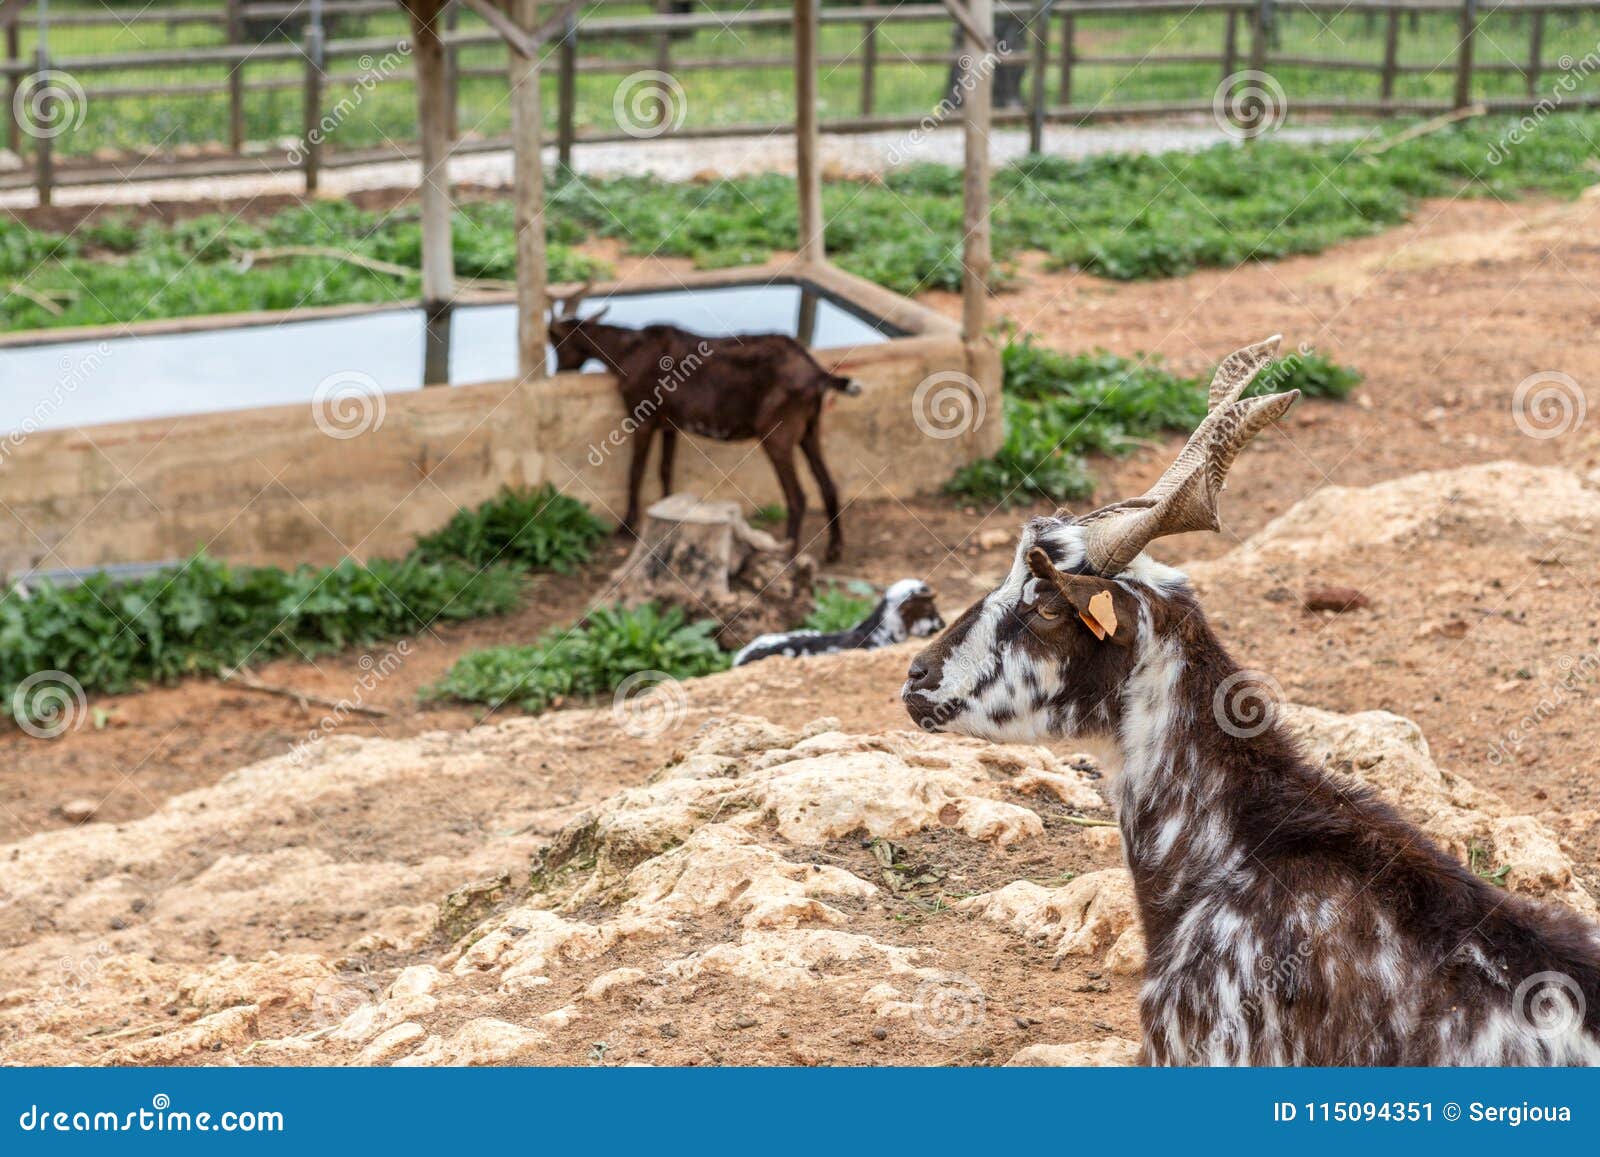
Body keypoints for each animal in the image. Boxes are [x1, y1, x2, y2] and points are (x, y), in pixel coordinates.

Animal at [548, 285, 859, 562]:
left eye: (554, 339)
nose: (558, 372)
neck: (629, 351)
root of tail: (816, 373)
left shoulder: (642, 417)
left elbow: (636, 471)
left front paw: (626, 526)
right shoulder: (670, 424)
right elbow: (665, 470)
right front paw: (668, 514)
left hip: (778, 434)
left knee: (798, 497)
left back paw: (787, 555)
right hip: (810, 429)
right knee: (829, 486)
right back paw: (834, 551)